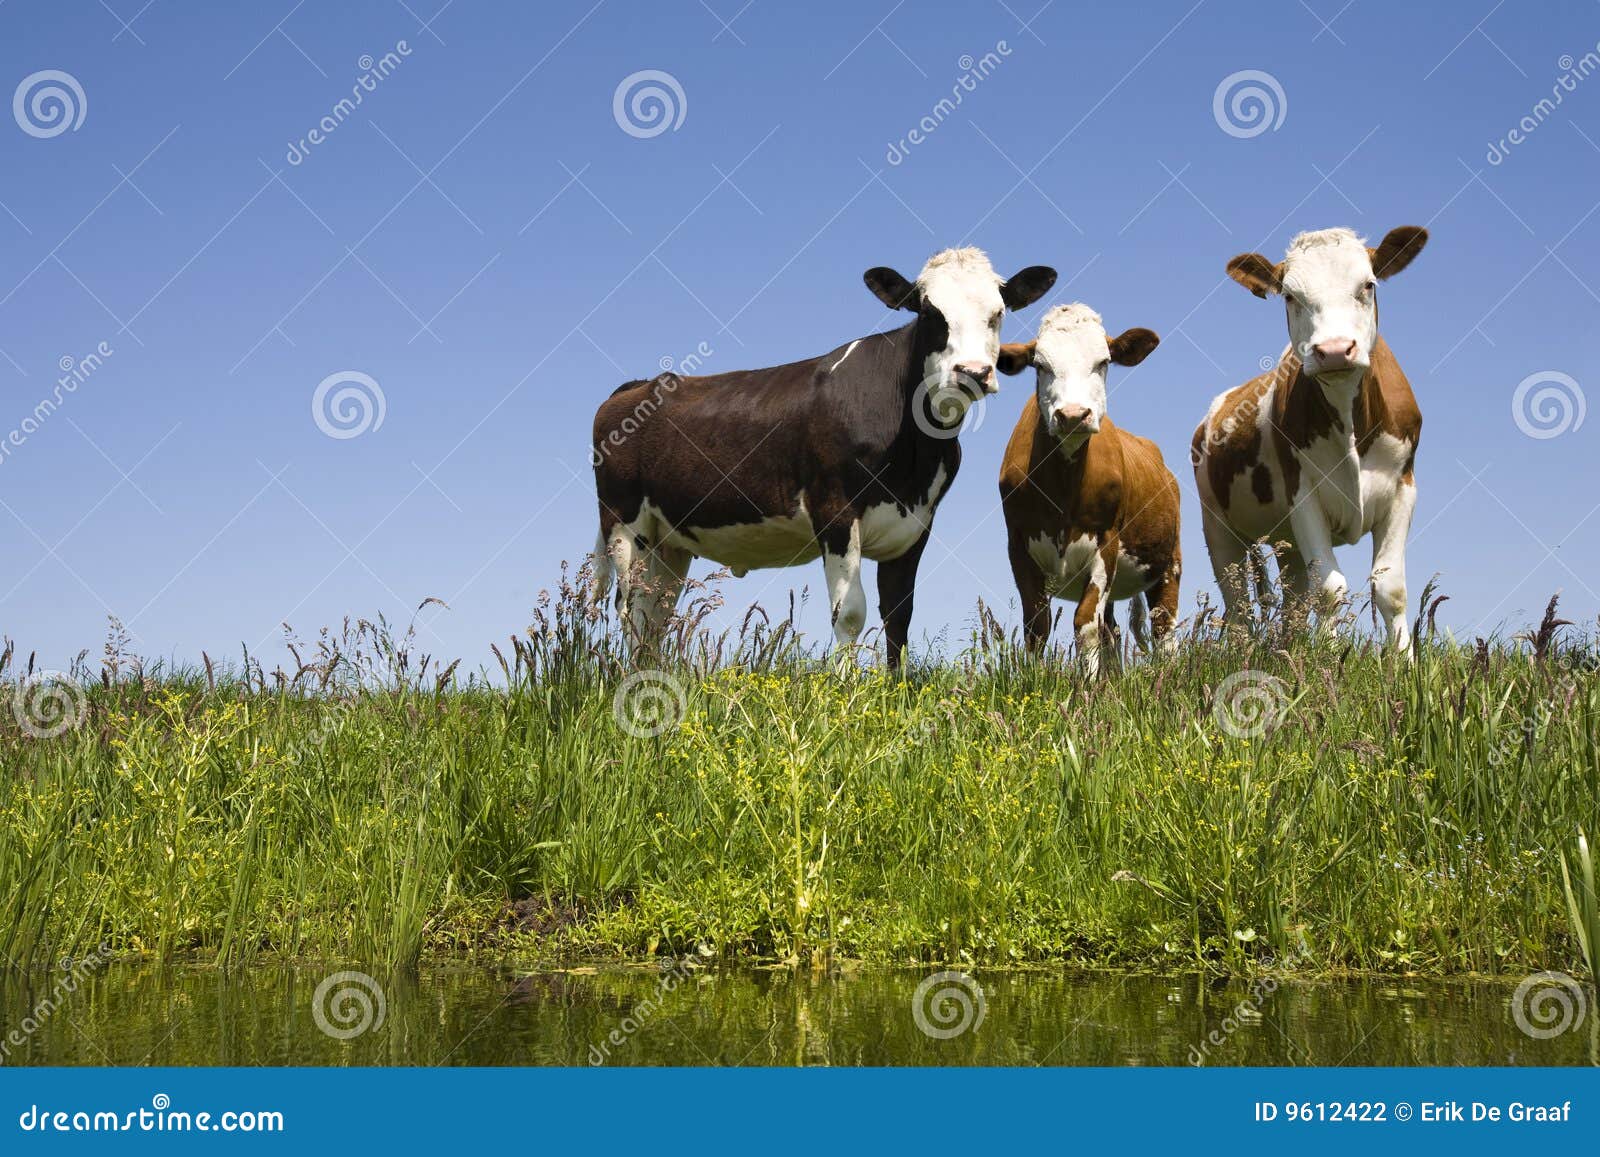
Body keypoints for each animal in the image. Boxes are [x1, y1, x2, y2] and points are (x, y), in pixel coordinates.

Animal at [591, 247, 1056, 667]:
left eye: (998, 313)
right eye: (929, 312)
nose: (973, 372)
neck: (914, 454)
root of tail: (641, 385)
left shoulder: (917, 522)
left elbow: (899, 616)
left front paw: (896, 690)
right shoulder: (835, 511)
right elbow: (849, 614)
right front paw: (847, 690)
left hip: (669, 540)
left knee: (656, 613)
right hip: (623, 522)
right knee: (630, 608)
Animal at [996, 304, 1179, 675]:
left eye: (1103, 362)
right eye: (1040, 365)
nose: (1072, 414)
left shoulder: (1105, 543)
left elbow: (1086, 624)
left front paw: (1089, 684)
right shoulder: (1018, 545)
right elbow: (1037, 625)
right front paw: (1036, 680)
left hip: (1169, 563)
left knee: (1163, 627)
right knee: (1113, 628)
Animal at [1191, 225, 1428, 651]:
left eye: (1368, 285)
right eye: (1290, 295)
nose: (1333, 350)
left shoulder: (1404, 486)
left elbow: (1390, 589)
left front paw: (1402, 659)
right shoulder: (1302, 494)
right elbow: (1329, 591)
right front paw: (1329, 658)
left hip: (1288, 546)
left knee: (1293, 601)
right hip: (1218, 525)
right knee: (1238, 606)